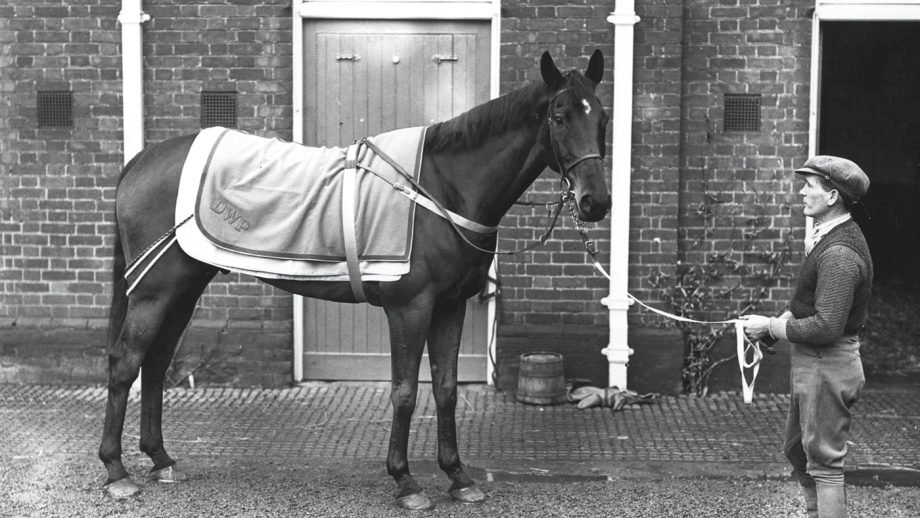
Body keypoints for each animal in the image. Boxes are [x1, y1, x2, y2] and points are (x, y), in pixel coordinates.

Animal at [99, 49, 611, 510]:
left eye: (603, 117)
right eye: (560, 117)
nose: (596, 202)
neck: (441, 188)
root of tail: (142, 160)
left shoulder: (451, 305)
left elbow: (445, 391)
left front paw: (458, 477)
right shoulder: (410, 307)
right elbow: (405, 392)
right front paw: (405, 481)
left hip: (184, 288)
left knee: (155, 362)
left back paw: (161, 460)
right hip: (154, 291)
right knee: (126, 363)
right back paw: (116, 471)